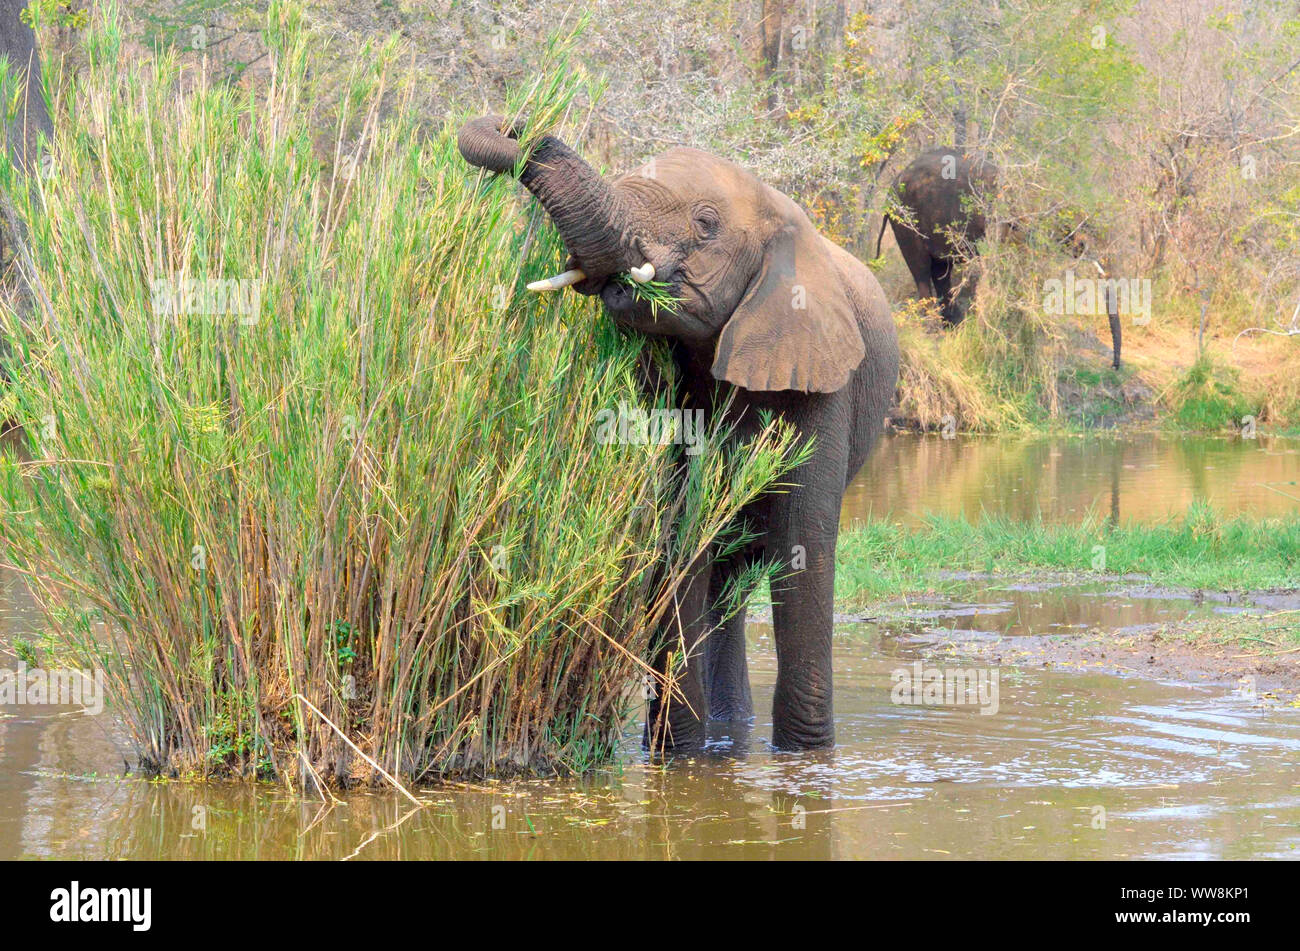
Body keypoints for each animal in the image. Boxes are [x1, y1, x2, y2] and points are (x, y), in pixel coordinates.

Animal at [458, 116, 899, 751]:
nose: (514, 123)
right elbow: (678, 529)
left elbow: (803, 544)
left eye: (705, 223)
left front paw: (805, 756)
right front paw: (676, 754)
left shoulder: (822, 382)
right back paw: (723, 735)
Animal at [877, 147, 1121, 368]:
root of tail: (895, 180)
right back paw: (932, 331)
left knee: (940, 270)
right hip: (904, 219)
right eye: (1080, 232)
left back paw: (953, 328)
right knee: (920, 268)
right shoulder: (1001, 223)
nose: (1114, 366)